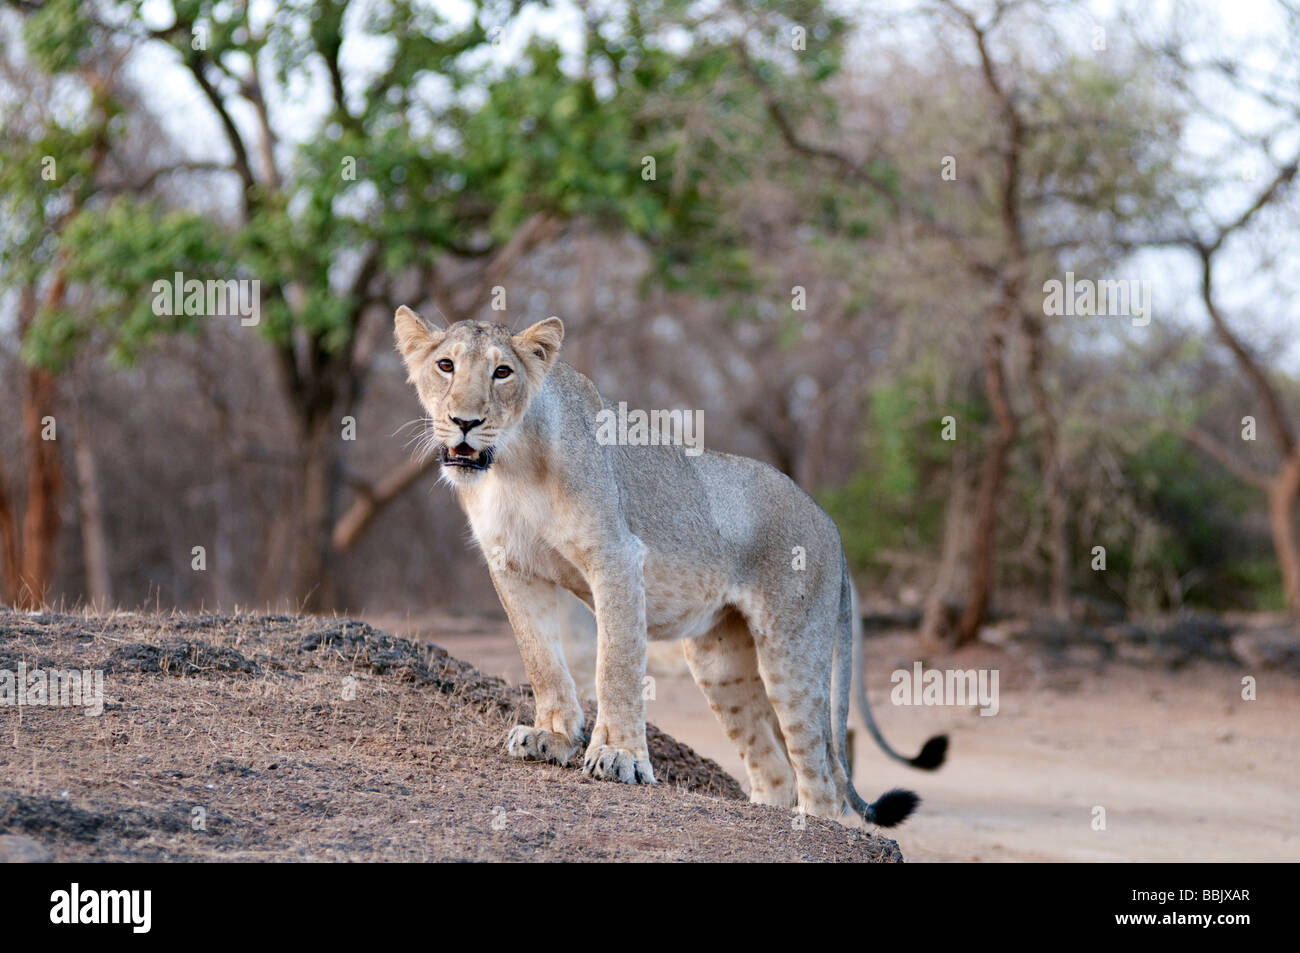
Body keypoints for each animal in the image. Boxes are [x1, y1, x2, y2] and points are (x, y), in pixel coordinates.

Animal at [394, 306, 946, 826]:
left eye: (502, 372)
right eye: (446, 366)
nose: (465, 422)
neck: (510, 466)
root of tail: (831, 525)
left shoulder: (616, 556)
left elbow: (615, 663)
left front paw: (619, 756)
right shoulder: (512, 566)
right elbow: (540, 657)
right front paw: (551, 737)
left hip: (791, 656)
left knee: (823, 781)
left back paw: (809, 823)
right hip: (720, 666)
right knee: (775, 769)